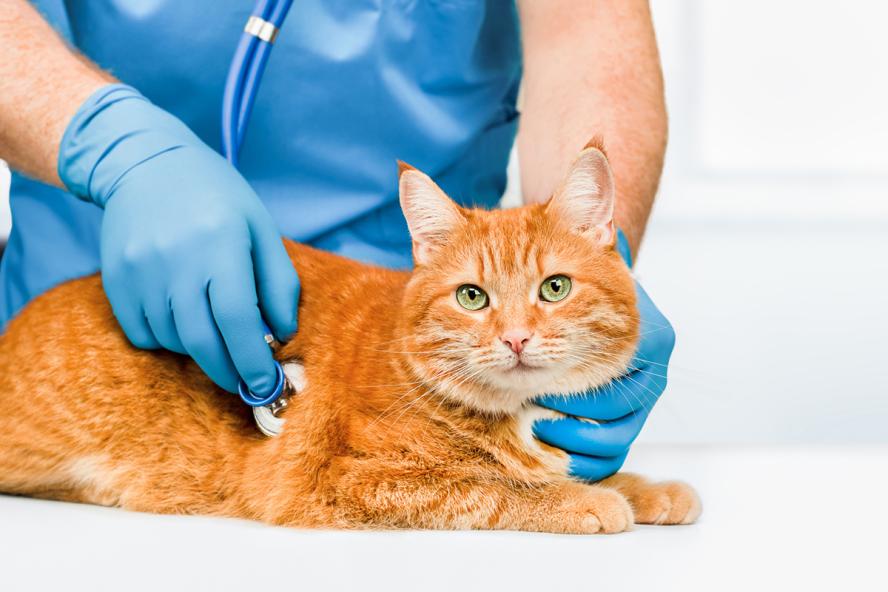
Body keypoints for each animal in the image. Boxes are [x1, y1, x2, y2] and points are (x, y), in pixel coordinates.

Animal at [0, 142, 700, 532]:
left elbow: (583, 473)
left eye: (554, 288)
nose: (517, 340)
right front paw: (578, 501)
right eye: (472, 297)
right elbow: (487, 490)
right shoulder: (347, 481)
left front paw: (640, 488)